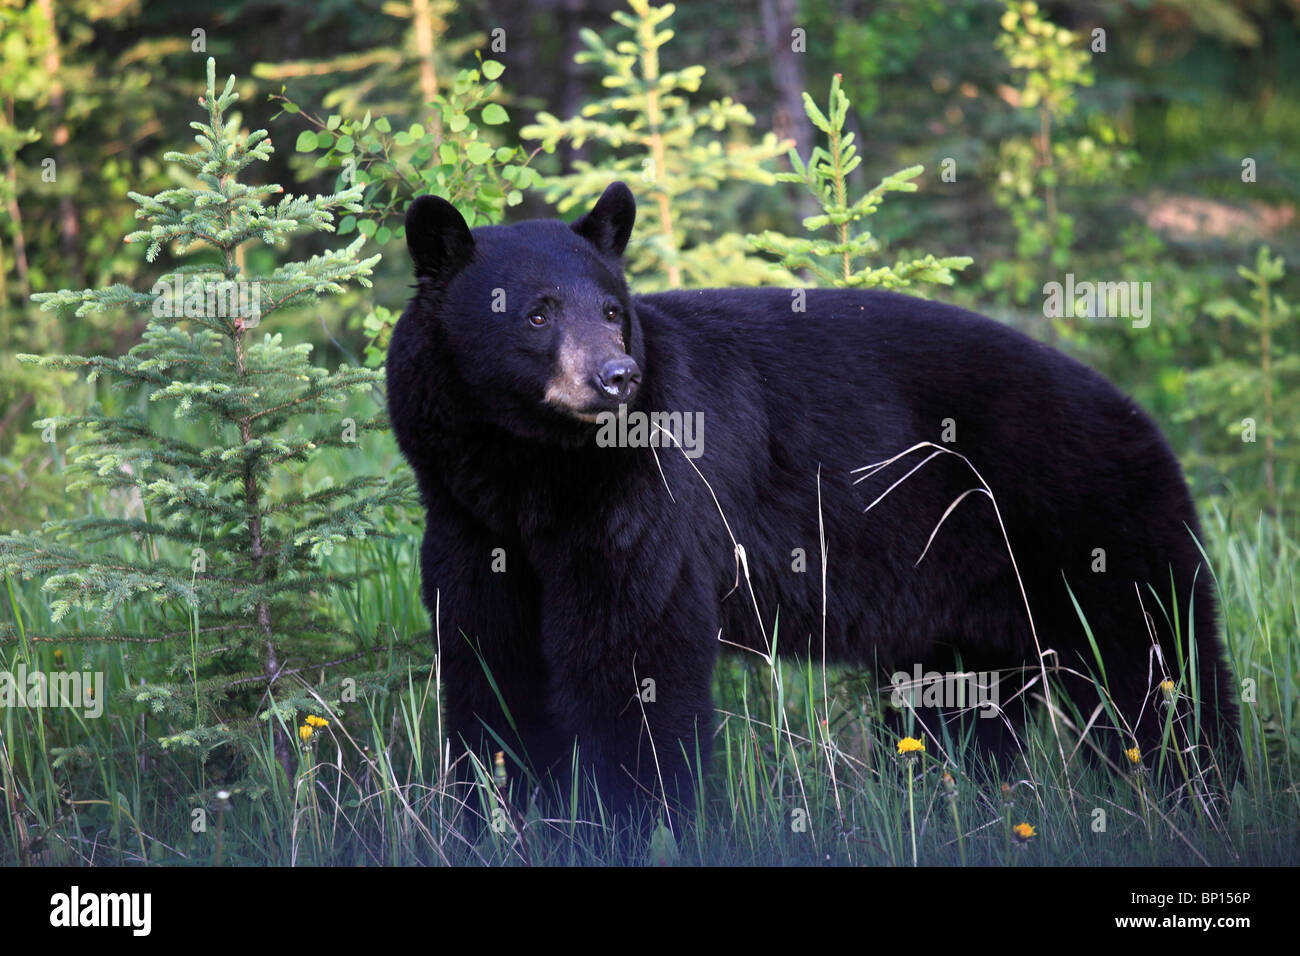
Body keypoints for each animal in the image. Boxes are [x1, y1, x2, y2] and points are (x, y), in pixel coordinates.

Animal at [386, 181, 1237, 830]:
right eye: (536, 312)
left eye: (610, 310)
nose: (617, 378)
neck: (532, 475)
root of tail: (1137, 414)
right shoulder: (467, 524)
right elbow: (490, 666)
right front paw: (491, 815)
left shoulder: (643, 507)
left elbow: (633, 661)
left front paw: (634, 822)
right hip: (969, 599)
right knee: (959, 708)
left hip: (1093, 528)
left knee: (1155, 669)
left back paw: (1204, 795)